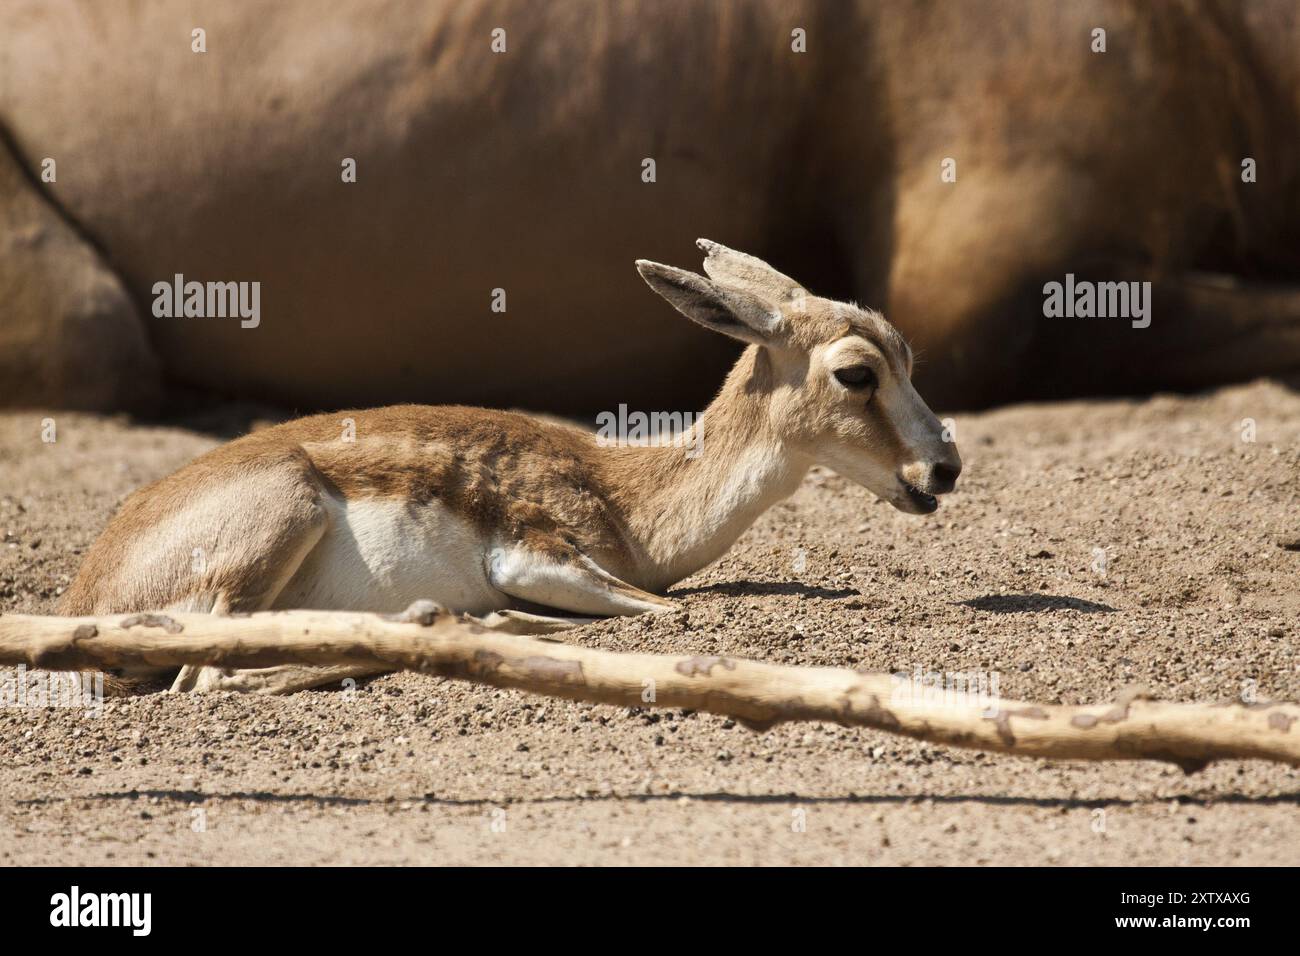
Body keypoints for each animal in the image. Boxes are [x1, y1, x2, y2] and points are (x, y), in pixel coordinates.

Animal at [61, 241, 962, 694]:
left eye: (908, 357)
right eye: (857, 373)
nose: (943, 469)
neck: (623, 496)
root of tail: (91, 592)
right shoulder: (533, 558)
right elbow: (663, 613)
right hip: (285, 522)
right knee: (208, 677)